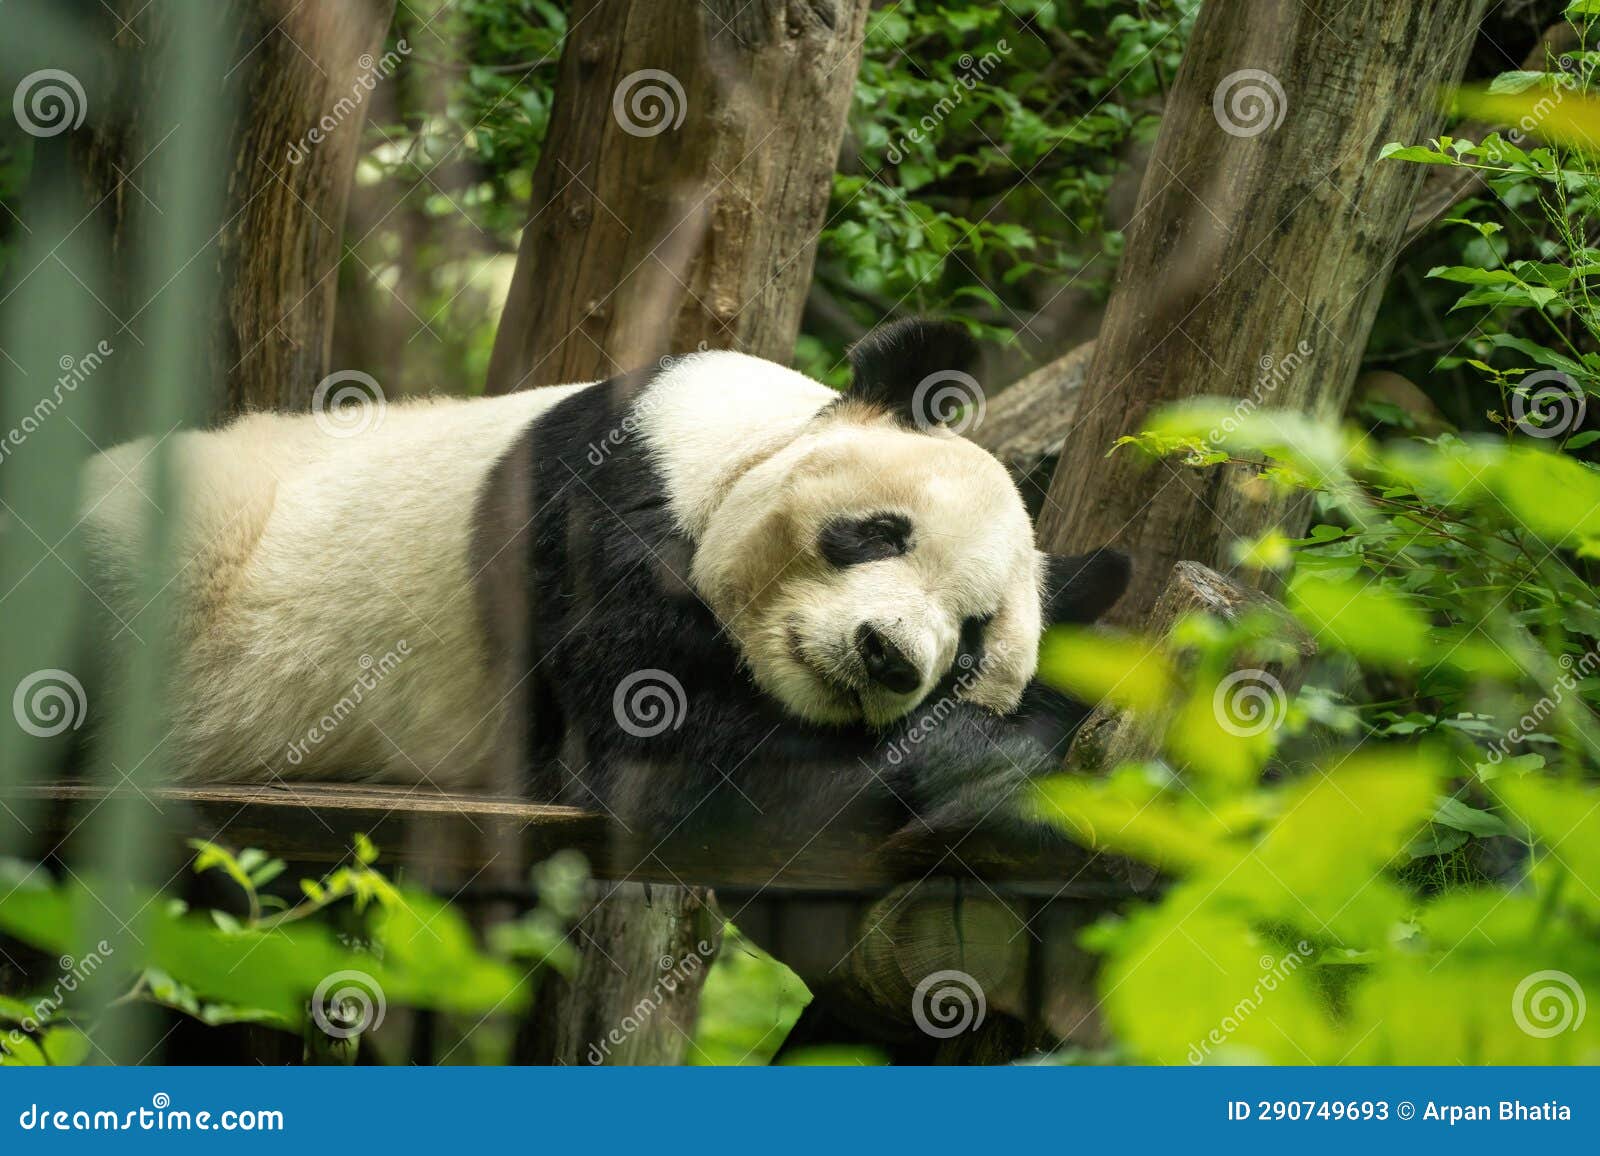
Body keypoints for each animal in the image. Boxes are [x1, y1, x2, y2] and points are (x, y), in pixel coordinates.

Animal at [77, 319, 1127, 842]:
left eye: (973, 641)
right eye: (875, 534)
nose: (887, 657)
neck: (739, 447)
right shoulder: (604, 494)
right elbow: (658, 745)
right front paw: (979, 758)